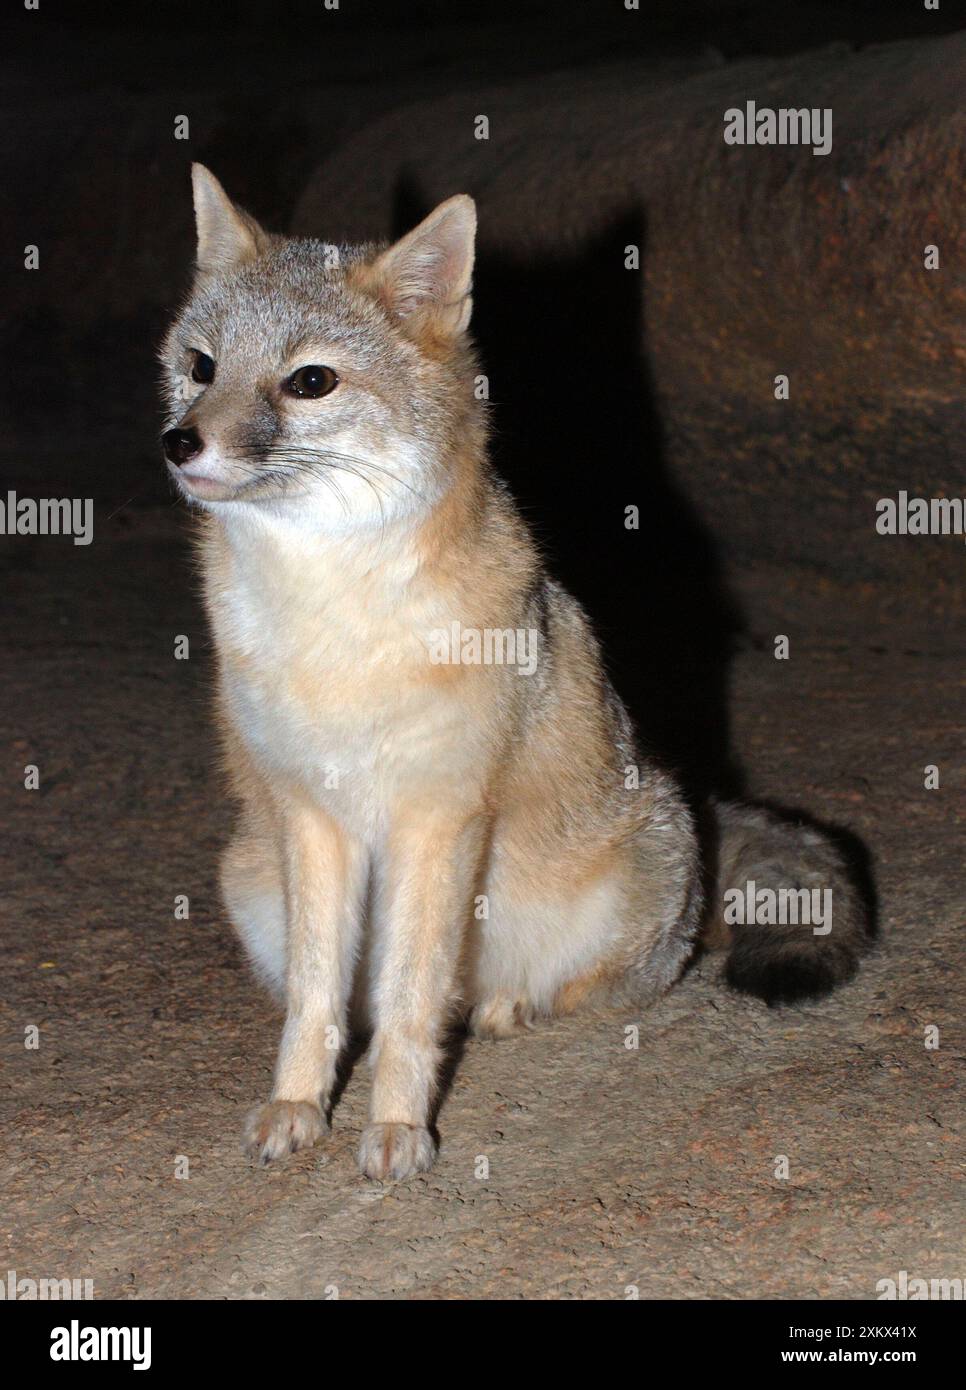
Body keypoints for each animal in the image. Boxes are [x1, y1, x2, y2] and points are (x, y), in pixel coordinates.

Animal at [160, 165, 870, 1181]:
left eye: (309, 382)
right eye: (200, 366)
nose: (182, 443)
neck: (334, 627)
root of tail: (691, 808)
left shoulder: (439, 817)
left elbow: (413, 1002)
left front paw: (397, 1126)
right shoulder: (312, 819)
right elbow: (318, 1000)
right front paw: (299, 1103)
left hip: (621, 887)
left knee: (592, 987)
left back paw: (508, 1006)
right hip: (251, 880)